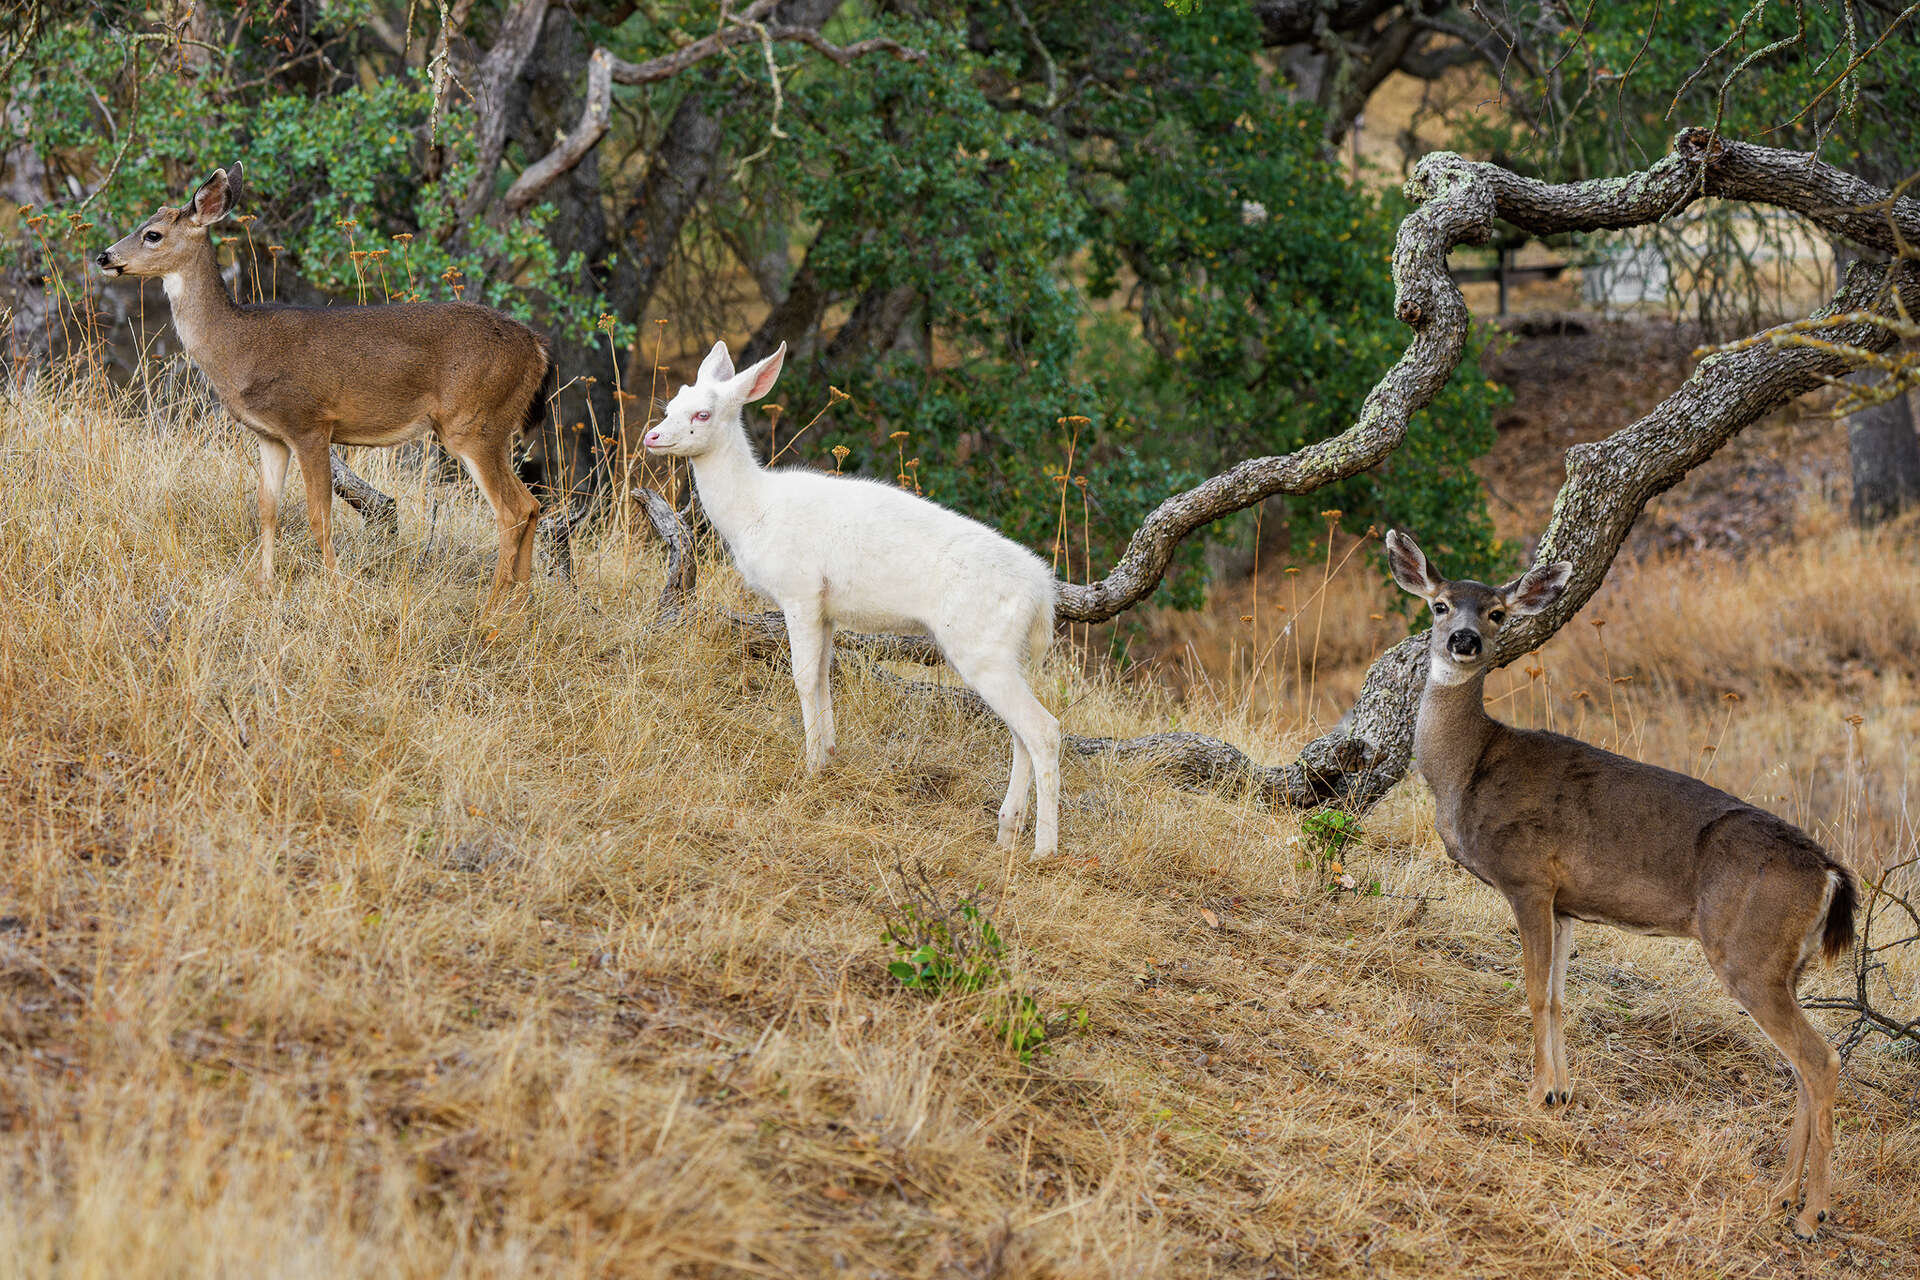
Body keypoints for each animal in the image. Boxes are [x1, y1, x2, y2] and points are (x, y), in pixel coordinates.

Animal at [94, 164, 549, 598]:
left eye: (152, 234)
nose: (103, 256)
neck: (239, 347)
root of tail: (537, 350)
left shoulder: (309, 422)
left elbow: (320, 515)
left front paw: (336, 587)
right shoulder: (270, 435)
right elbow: (267, 508)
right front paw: (264, 585)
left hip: (473, 422)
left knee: (511, 511)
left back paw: (491, 610)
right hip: (490, 427)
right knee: (531, 506)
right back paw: (521, 605)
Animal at [642, 340, 1062, 858]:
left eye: (702, 413)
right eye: (670, 404)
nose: (653, 436)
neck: (754, 510)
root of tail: (1042, 594)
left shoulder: (799, 589)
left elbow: (803, 678)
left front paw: (808, 767)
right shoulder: (826, 609)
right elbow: (824, 677)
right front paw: (828, 756)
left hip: (980, 643)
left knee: (1044, 730)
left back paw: (1044, 848)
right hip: (1005, 651)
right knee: (1022, 732)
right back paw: (1007, 831)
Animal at [1383, 529, 1857, 1241]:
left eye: (1496, 612)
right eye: (1439, 605)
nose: (1463, 641)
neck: (1465, 772)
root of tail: (1827, 871)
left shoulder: (1526, 876)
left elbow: (1532, 991)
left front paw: (1534, 1095)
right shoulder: (1565, 903)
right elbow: (1557, 996)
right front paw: (1560, 1092)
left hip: (1746, 950)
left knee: (1821, 1059)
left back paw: (1811, 1214)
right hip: (1784, 964)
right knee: (1804, 1063)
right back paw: (1776, 1195)